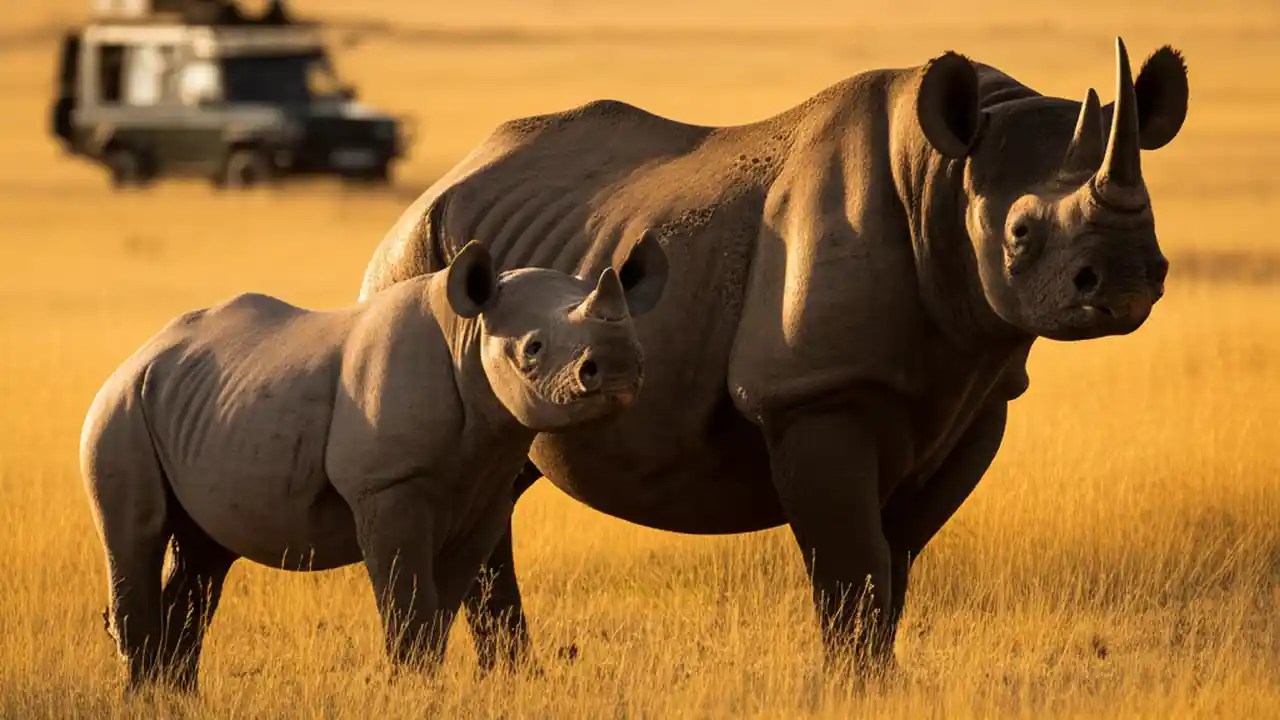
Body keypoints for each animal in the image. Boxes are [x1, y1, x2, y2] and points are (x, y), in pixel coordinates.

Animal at [80, 238, 667, 690]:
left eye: (632, 338)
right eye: (533, 348)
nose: (617, 368)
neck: (469, 333)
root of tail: (140, 352)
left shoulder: (486, 491)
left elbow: (441, 605)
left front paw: (423, 686)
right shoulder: (386, 486)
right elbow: (408, 602)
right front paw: (411, 689)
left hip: (194, 402)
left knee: (204, 555)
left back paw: (174, 698)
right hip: (120, 408)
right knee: (135, 534)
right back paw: (145, 694)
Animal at [362, 39, 1188, 668]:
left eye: (1152, 213)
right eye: (1019, 233)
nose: (1122, 283)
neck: (945, 180)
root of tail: (435, 189)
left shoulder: (979, 394)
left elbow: (896, 562)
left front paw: (878, 685)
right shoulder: (813, 393)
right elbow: (853, 569)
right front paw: (853, 689)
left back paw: (513, 680)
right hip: (414, 262)